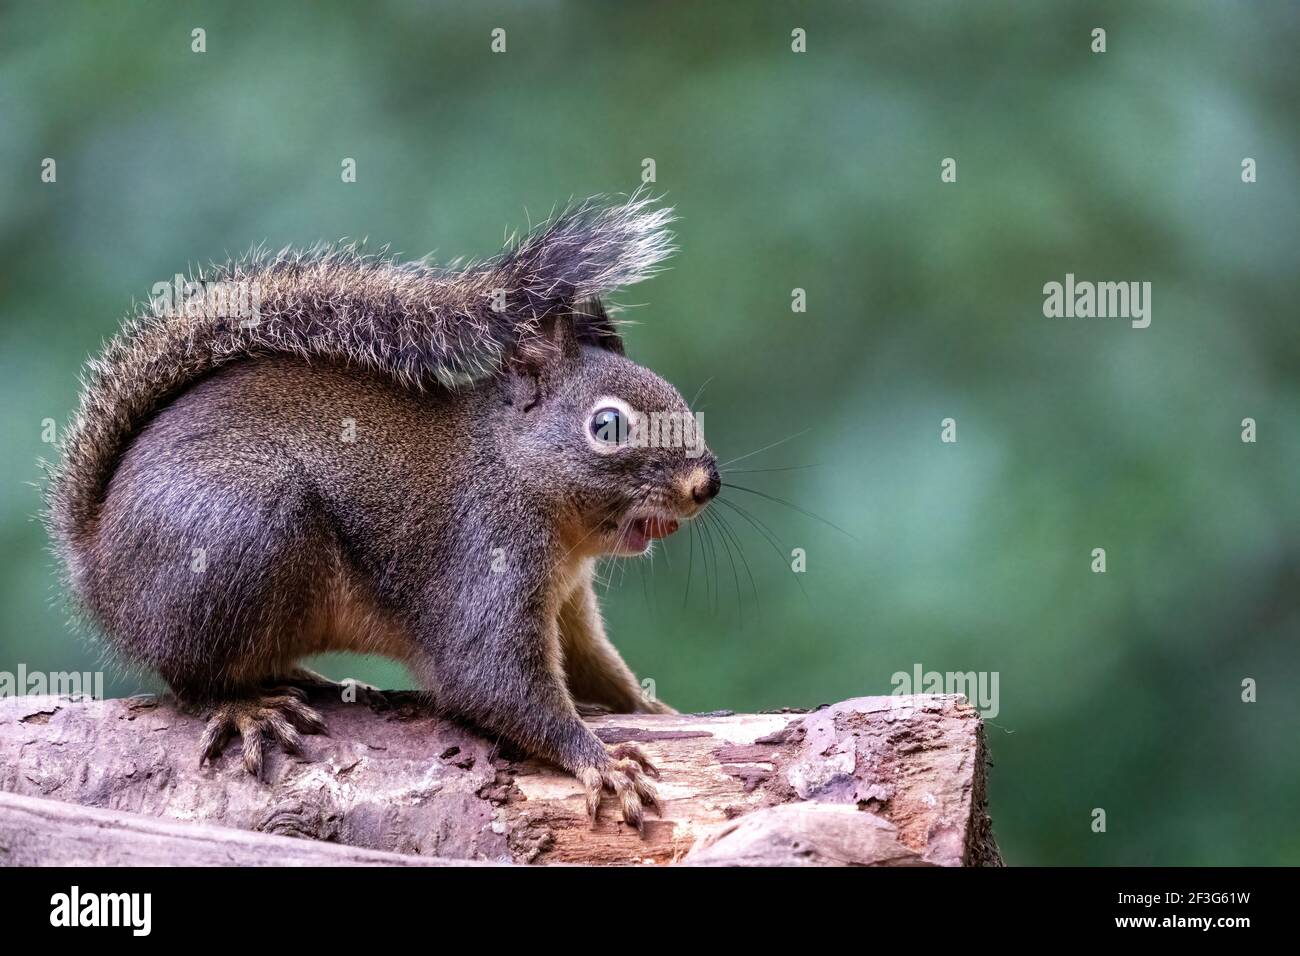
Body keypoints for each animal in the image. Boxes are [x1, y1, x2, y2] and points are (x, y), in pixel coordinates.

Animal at [45, 192, 719, 830]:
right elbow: (493, 682)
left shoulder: (570, 601)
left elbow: (594, 668)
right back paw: (245, 707)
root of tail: (97, 561)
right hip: (244, 535)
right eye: (607, 426)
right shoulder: (488, 554)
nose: (706, 483)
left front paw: (656, 709)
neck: (517, 473)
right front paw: (603, 764)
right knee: (188, 680)